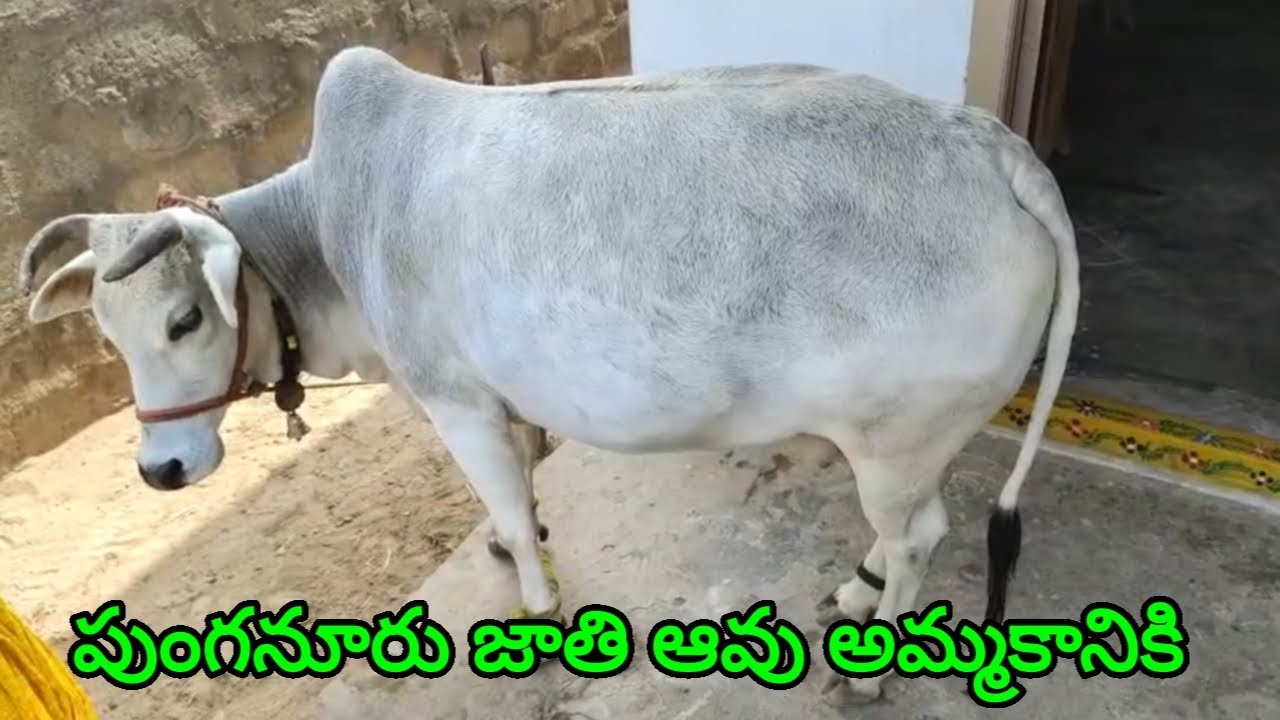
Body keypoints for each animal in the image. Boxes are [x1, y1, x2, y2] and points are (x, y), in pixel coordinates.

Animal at [17, 47, 1079, 703]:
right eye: (106, 333)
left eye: (185, 318)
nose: (160, 470)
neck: (324, 230)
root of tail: (997, 146)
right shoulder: (502, 401)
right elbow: (521, 487)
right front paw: (509, 540)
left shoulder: (454, 402)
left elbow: (506, 500)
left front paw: (532, 603)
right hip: (913, 439)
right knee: (907, 530)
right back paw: (859, 597)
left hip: (895, 438)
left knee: (920, 538)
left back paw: (871, 665)